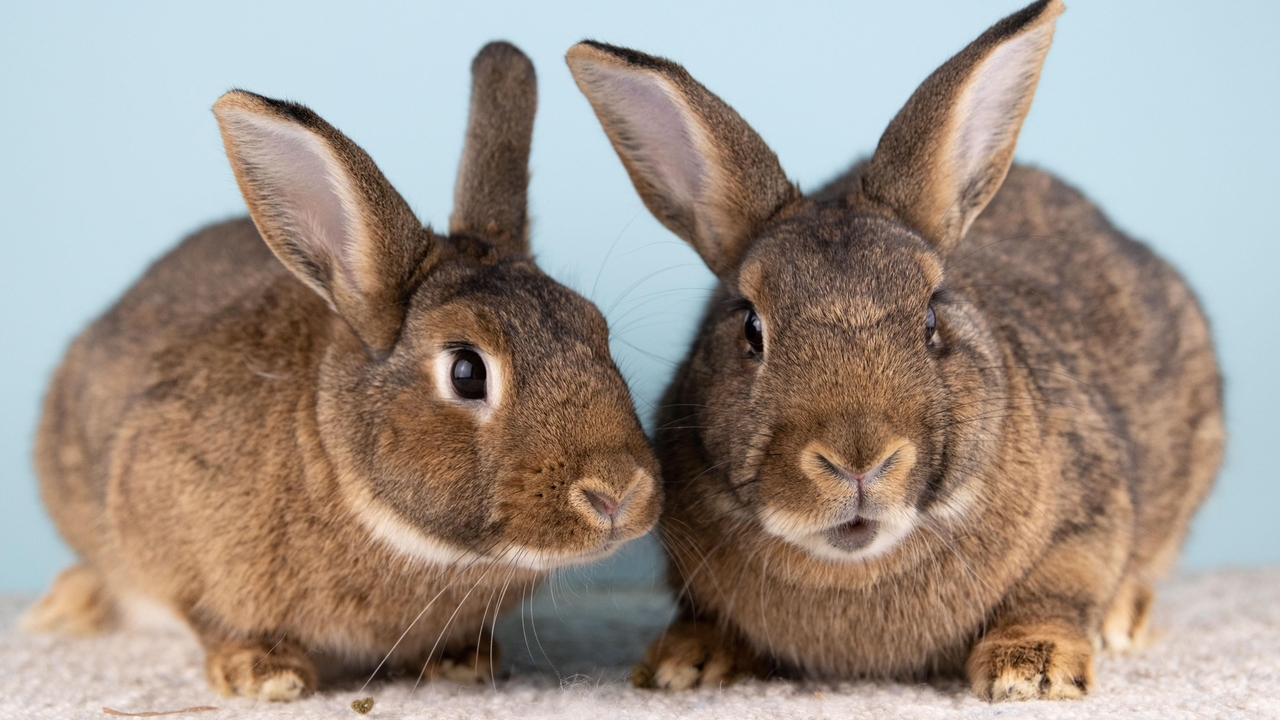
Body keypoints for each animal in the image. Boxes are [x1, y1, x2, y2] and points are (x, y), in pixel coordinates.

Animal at [21, 41, 661, 701]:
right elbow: (210, 617)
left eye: (597, 330)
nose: (619, 492)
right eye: (466, 371)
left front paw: (462, 659)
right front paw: (265, 675)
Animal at [567, 0, 1223, 702]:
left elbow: (1058, 589)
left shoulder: (1088, 516)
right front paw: (685, 661)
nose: (859, 461)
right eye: (750, 328)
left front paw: (1029, 669)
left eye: (932, 317)